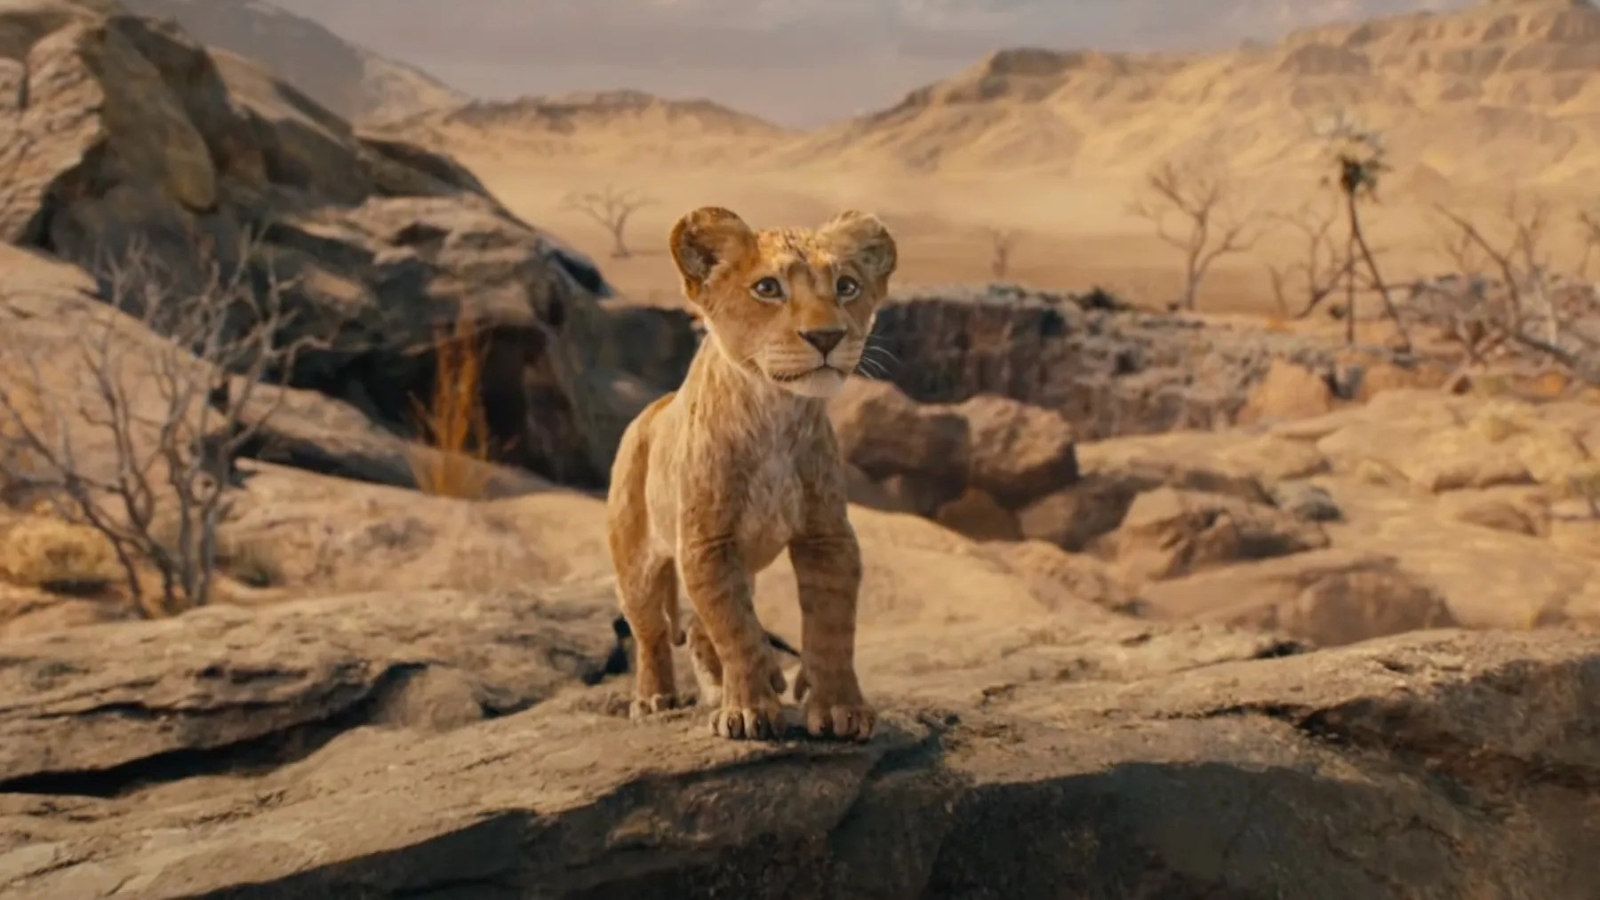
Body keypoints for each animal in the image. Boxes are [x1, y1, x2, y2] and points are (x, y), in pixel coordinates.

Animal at [604, 206, 896, 742]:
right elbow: (735, 629)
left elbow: (832, 626)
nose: (827, 337)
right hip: (636, 562)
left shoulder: (827, 536)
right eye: (767, 288)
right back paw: (655, 698)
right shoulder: (707, 542)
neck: (775, 411)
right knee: (651, 630)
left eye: (846, 286)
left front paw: (840, 709)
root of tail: (648, 411)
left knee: (700, 628)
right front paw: (748, 711)